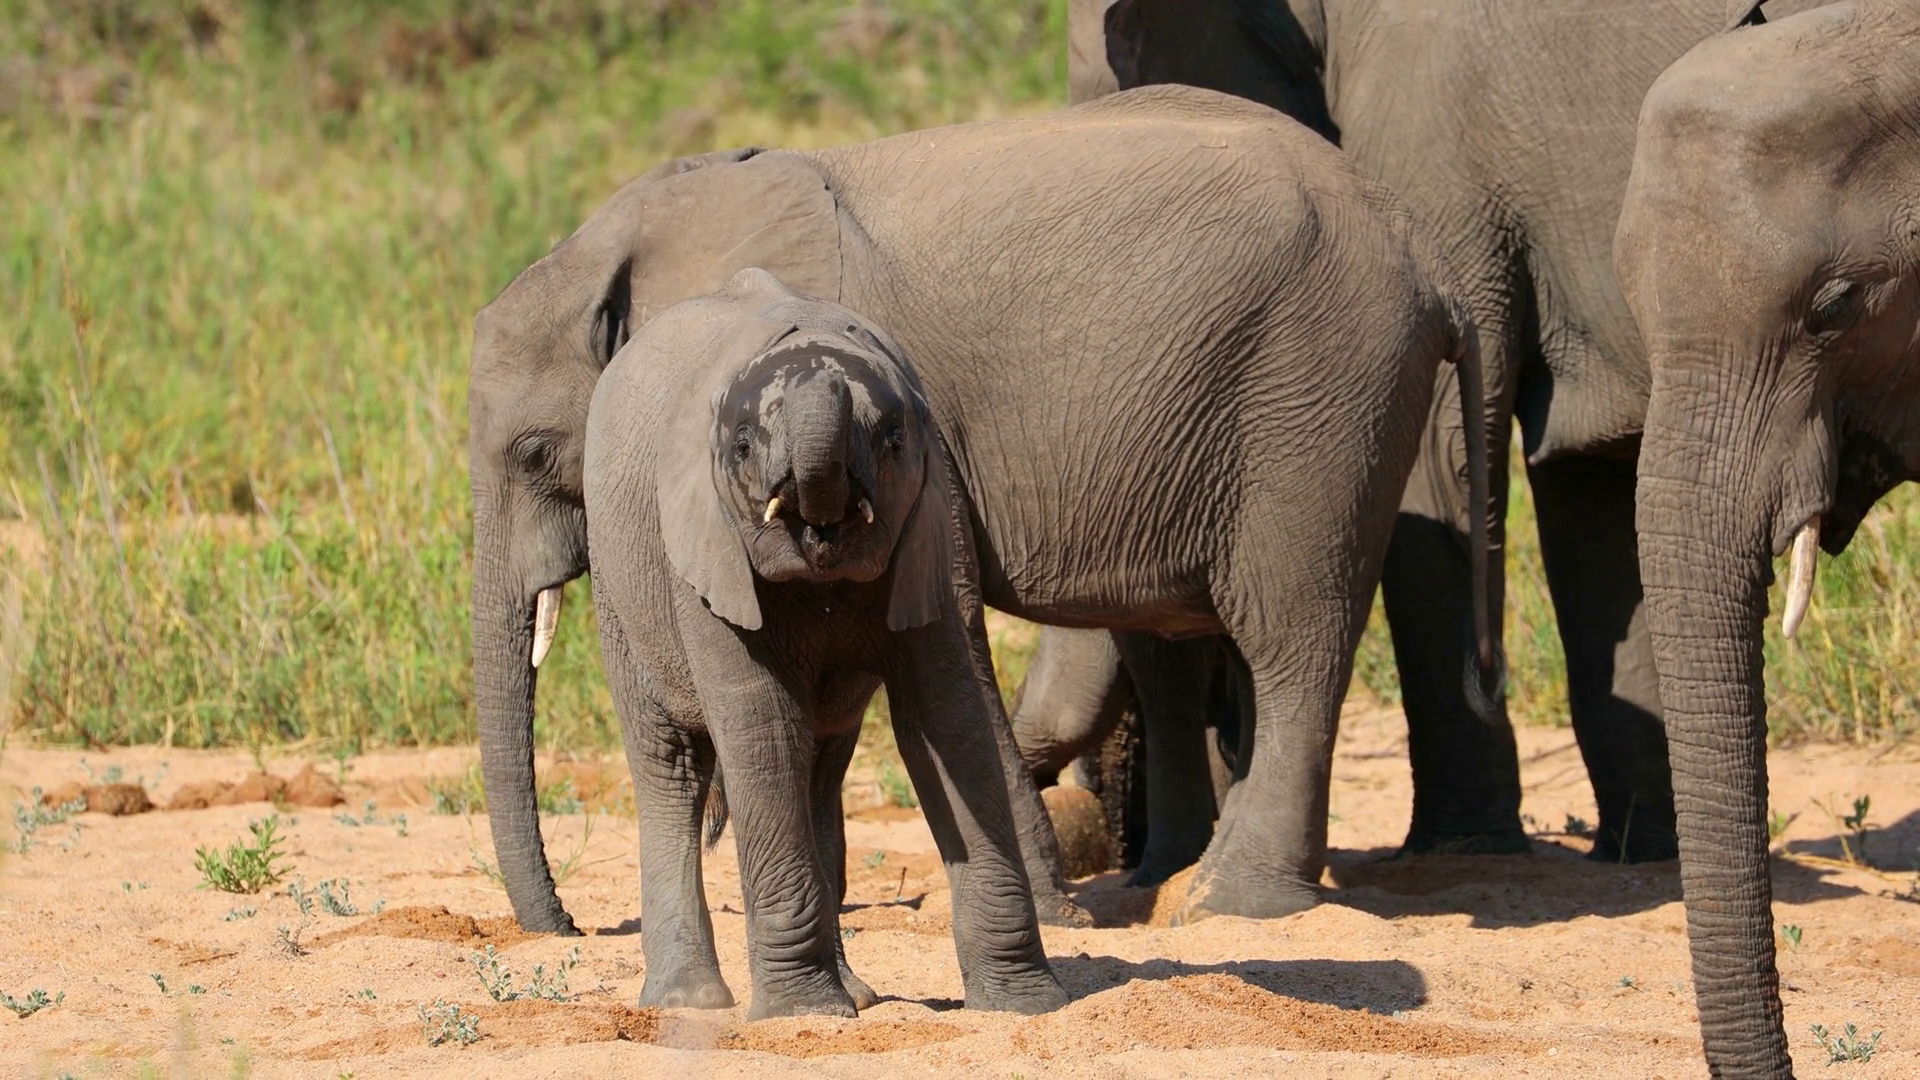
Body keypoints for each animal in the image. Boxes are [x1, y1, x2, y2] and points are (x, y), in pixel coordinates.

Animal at [475, 83, 1499, 929]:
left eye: (534, 453)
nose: (569, 926)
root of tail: (1425, 254)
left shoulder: (901, 431)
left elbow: (948, 622)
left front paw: (1054, 916)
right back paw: (1168, 885)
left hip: (1323, 401)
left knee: (1292, 637)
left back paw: (1229, 905)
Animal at [583, 269, 1068, 1017]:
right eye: (742, 443)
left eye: (894, 438)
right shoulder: (704, 549)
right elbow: (764, 726)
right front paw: (800, 1015)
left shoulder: (932, 526)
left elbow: (946, 720)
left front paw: (1027, 1005)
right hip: (619, 581)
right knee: (674, 767)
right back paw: (690, 1003)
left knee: (820, 762)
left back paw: (857, 998)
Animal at [1056, 0, 1830, 867]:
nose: (1103, 839)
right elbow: (1589, 489)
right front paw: (1644, 856)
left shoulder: (1428, 135)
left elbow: (1440, 463)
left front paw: (1461, 850)